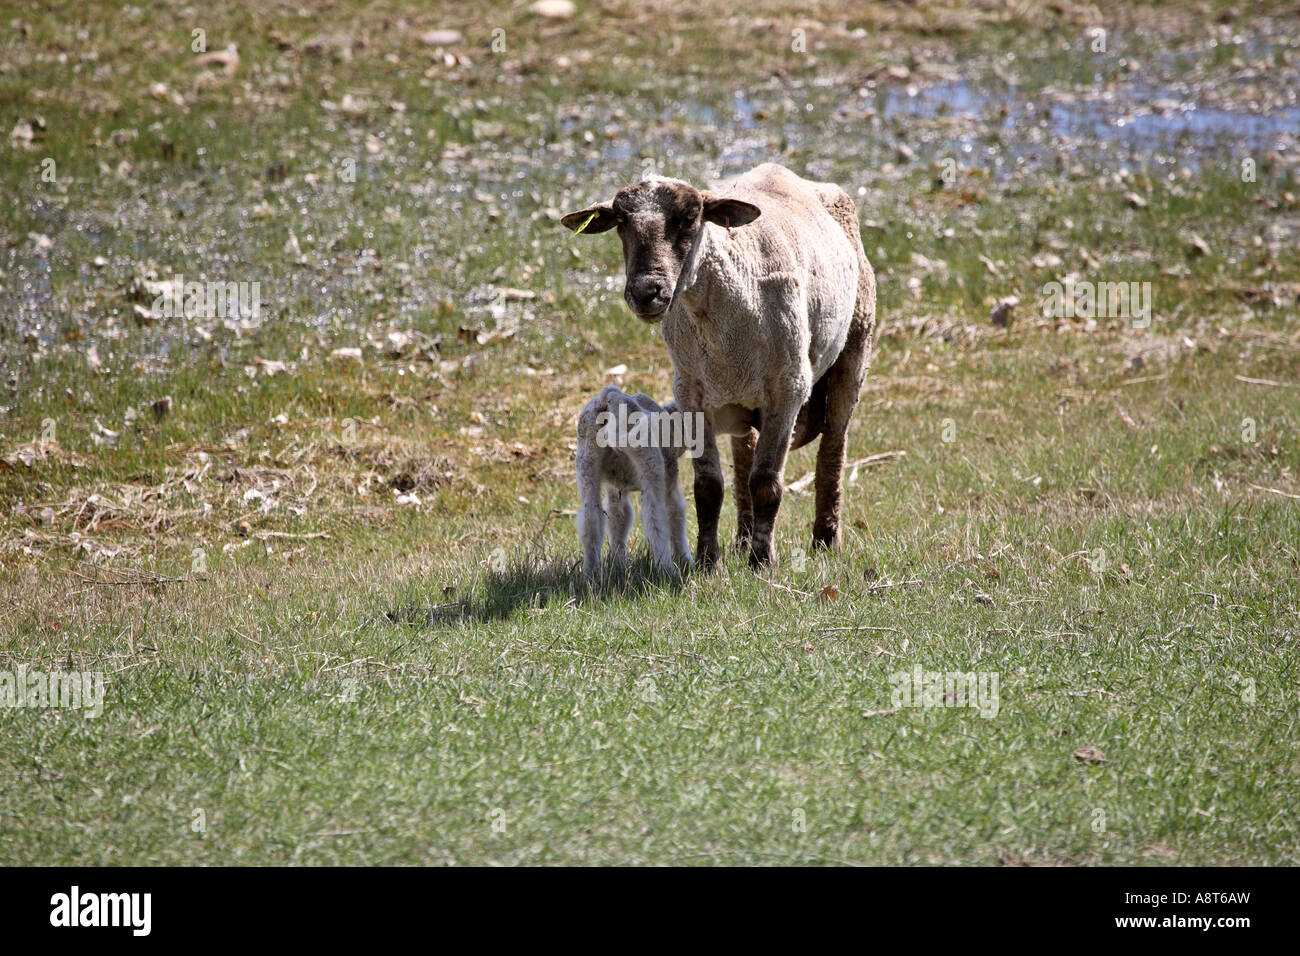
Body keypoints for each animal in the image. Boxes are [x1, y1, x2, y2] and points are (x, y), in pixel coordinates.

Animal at [575, 385, 693, 580]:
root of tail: (610, 398)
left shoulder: (615, 487)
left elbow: (619, 517)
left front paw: (618, 563)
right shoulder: (670, 477)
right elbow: (676, 513)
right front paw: (685, 560)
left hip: (587, 457)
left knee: (590, 516)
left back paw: (590, 574)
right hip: (648, 458)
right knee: (653, 516)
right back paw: (667, 571)